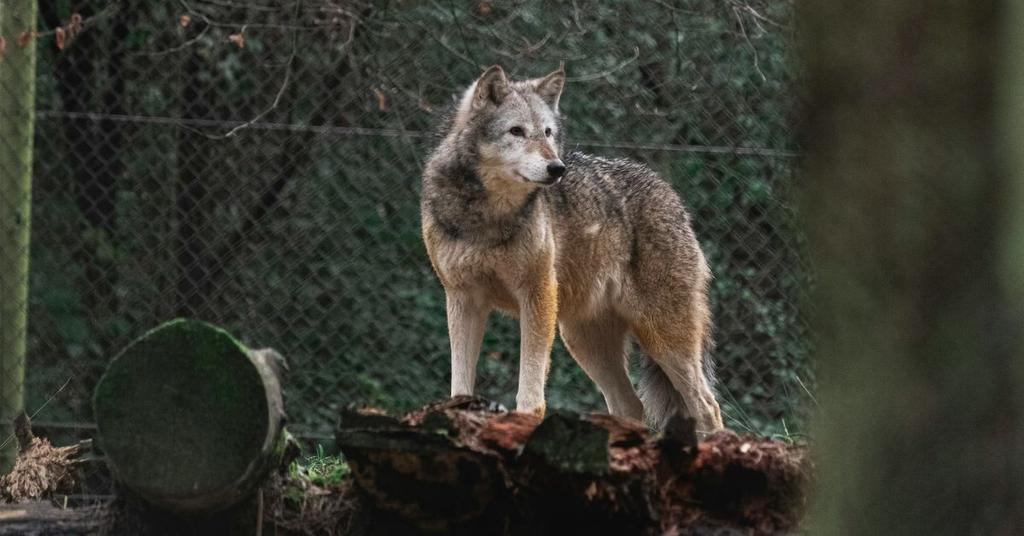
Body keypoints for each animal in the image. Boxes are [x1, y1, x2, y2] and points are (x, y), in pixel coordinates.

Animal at [420, 65, 724, 433]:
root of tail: (670, 193)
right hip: (582, 339)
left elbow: (531, 393)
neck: (486, 216)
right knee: (630, 403)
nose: (557, 168)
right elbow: (460, 386)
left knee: (707, 405)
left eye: (548, 133)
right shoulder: (462, 298)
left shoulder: (537, 293)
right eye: (516, 131)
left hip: (661, 335)